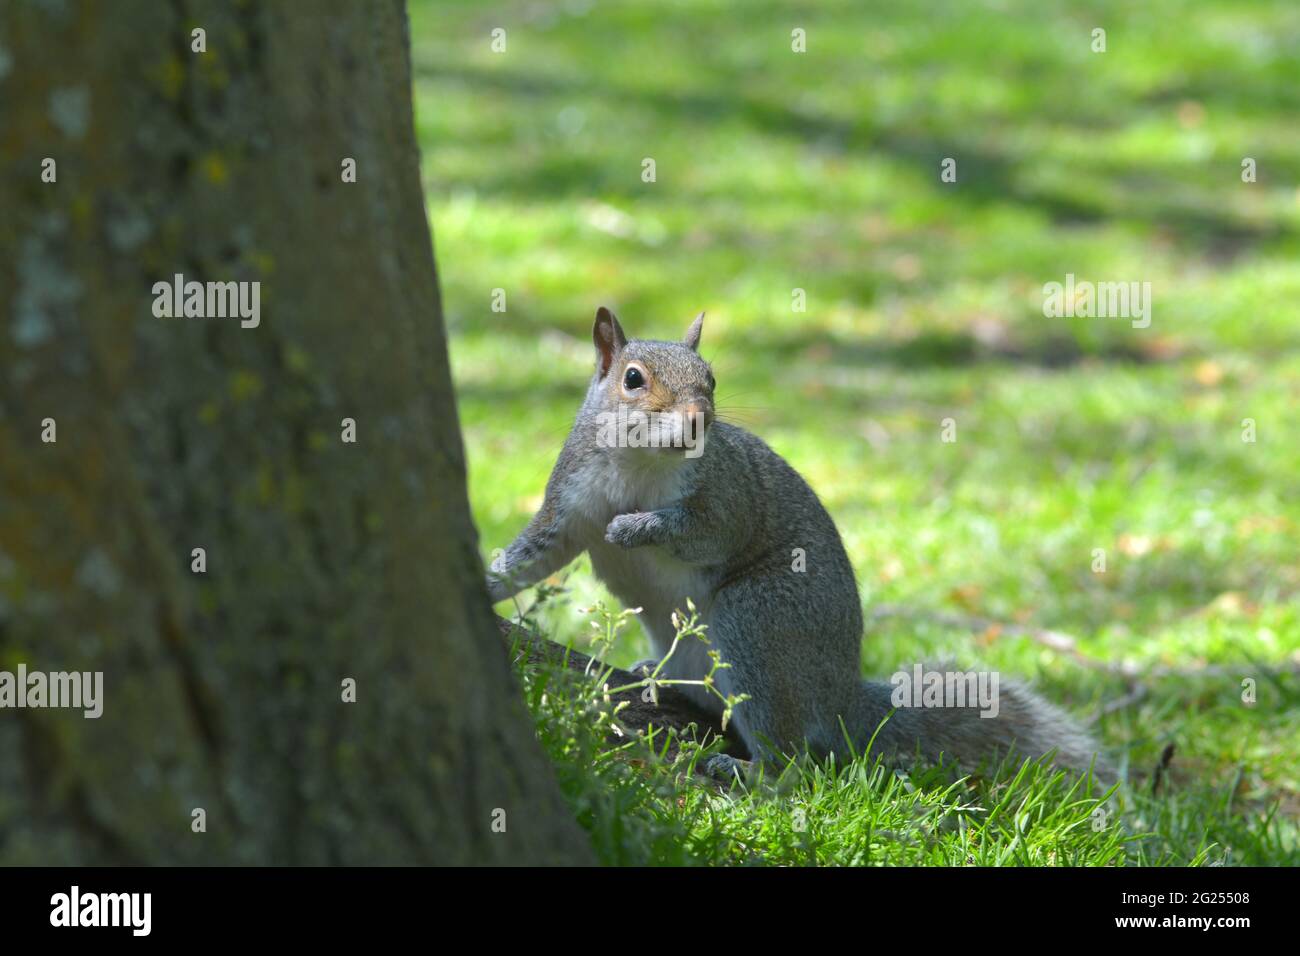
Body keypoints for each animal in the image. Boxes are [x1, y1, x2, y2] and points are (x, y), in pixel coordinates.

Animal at [489, 307, 1112, 784]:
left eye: (711, 378)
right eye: (633, 379)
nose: (698, 421)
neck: (637, 466)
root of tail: (840, 699)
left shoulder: (727, 494)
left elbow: (706, 534)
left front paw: (634, 529)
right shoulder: (570, 501)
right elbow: (534, 555)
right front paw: (488, 582)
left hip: (759, 620)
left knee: (790, 762)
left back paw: (748, 770)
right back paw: (656, 674)